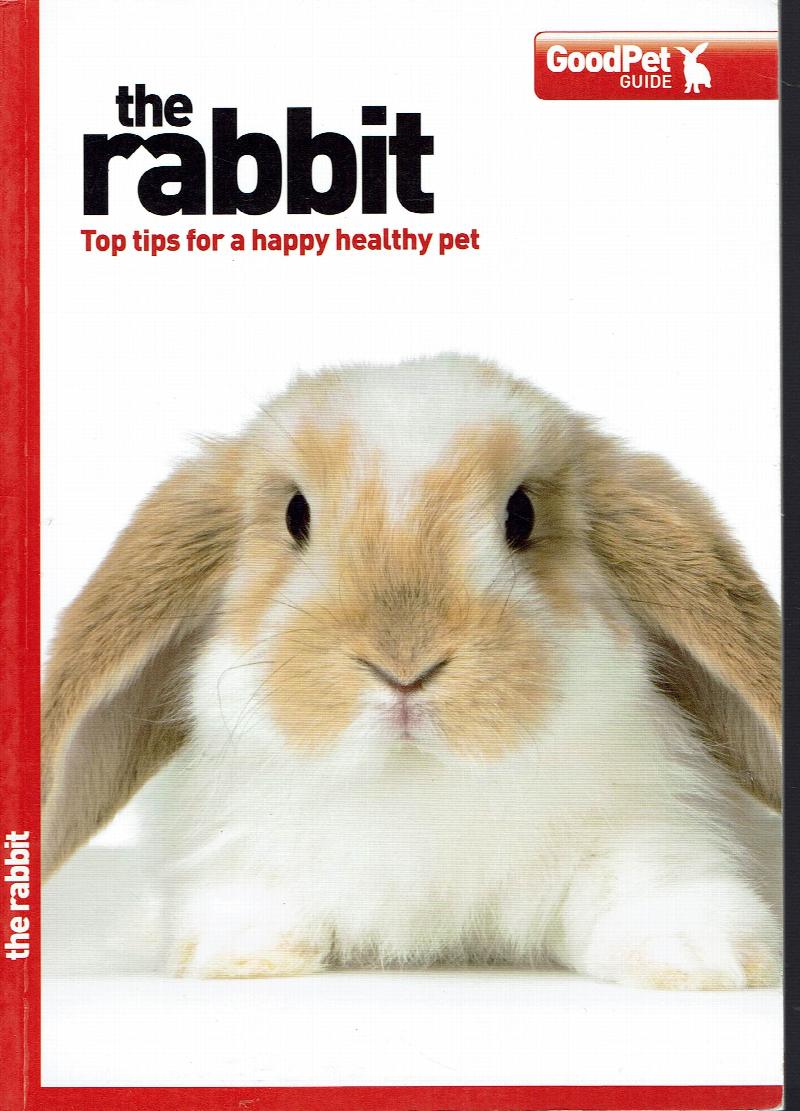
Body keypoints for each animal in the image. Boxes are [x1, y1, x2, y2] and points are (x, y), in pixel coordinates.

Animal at [42, 354, 781, 988]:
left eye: (521, 513)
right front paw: (241, 955)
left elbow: (657, 884)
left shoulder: (655, 827)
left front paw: (701, 959)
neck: (416, 782)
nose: (404, 664)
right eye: (295, 513)